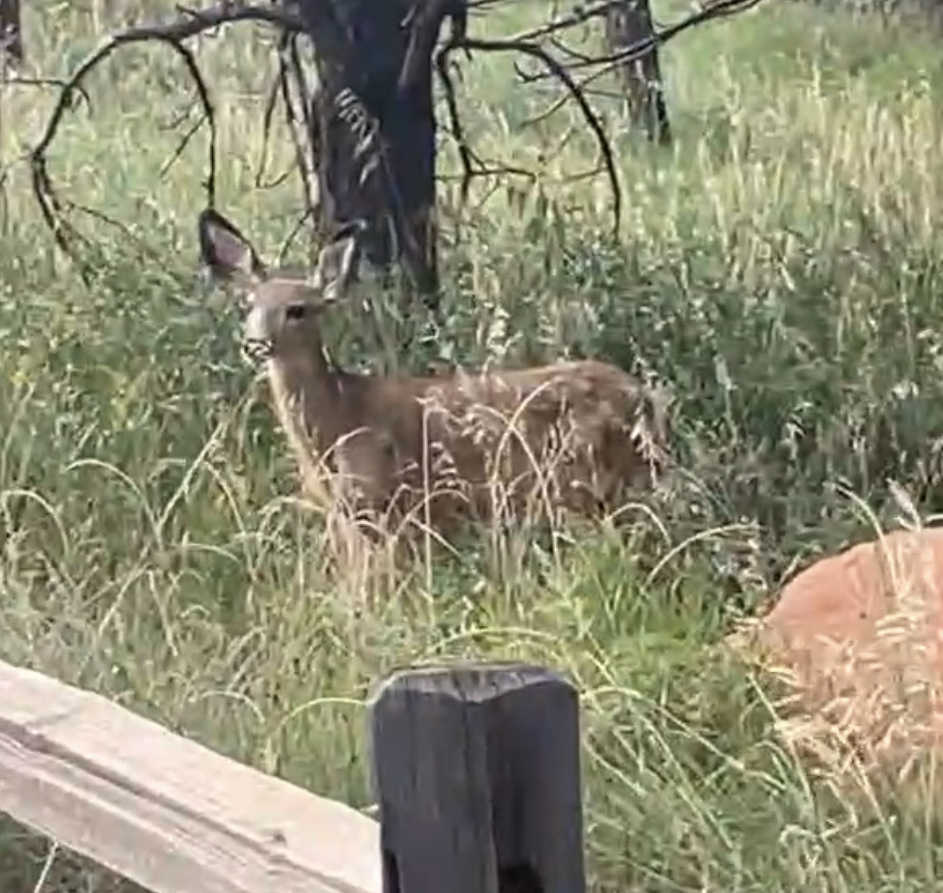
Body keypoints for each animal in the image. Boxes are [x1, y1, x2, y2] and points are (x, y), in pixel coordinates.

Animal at [197, 207, 671, 539]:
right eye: (248, 305)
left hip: (585, 480)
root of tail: (643, 398)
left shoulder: (382, 503)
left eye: (297, 309)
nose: (255, 344)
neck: (340, 417)